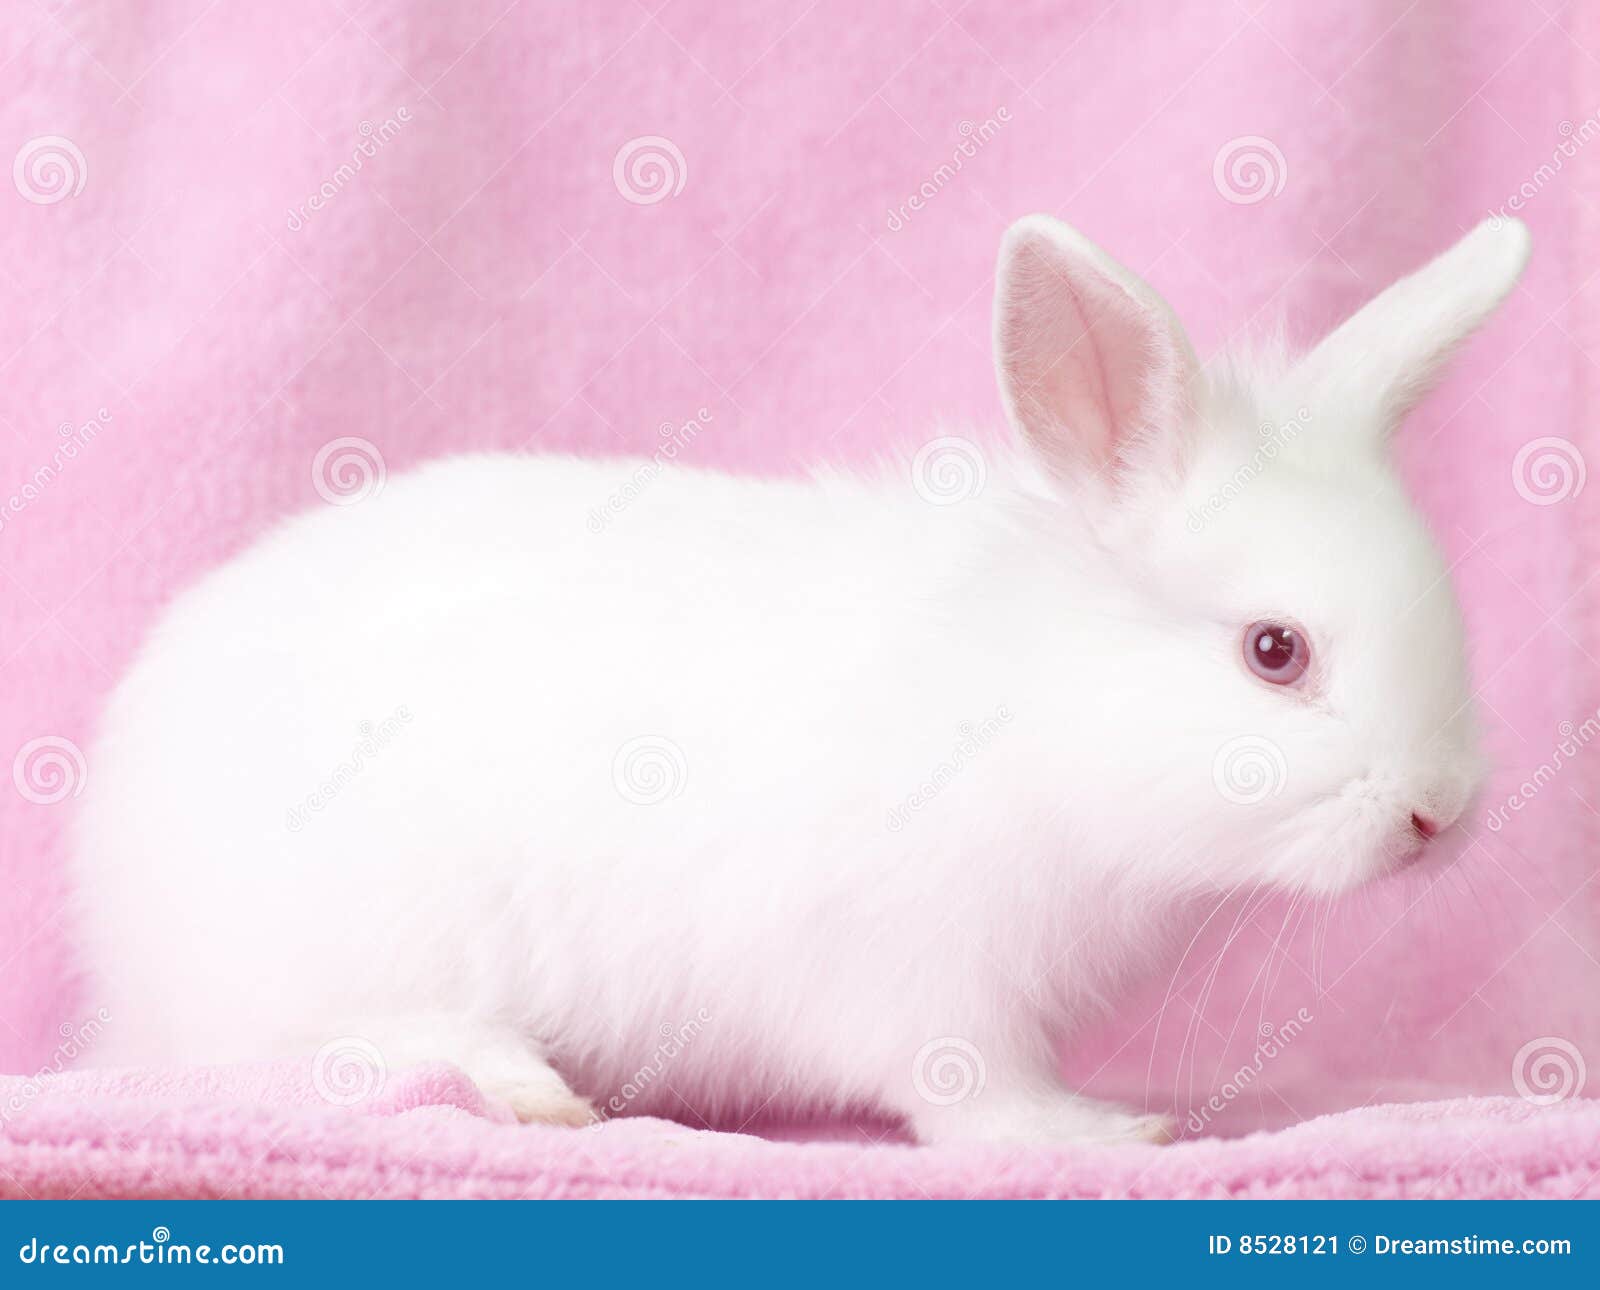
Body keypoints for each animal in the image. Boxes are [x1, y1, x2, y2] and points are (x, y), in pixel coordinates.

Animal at [69, 213, 1529, 1145]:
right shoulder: (929, 978)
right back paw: (529, 1089)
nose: (1441, 812)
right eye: (1274, 652)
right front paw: (1105, 1134)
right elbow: (974, 1098)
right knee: (309, 1054)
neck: (1035, 709)